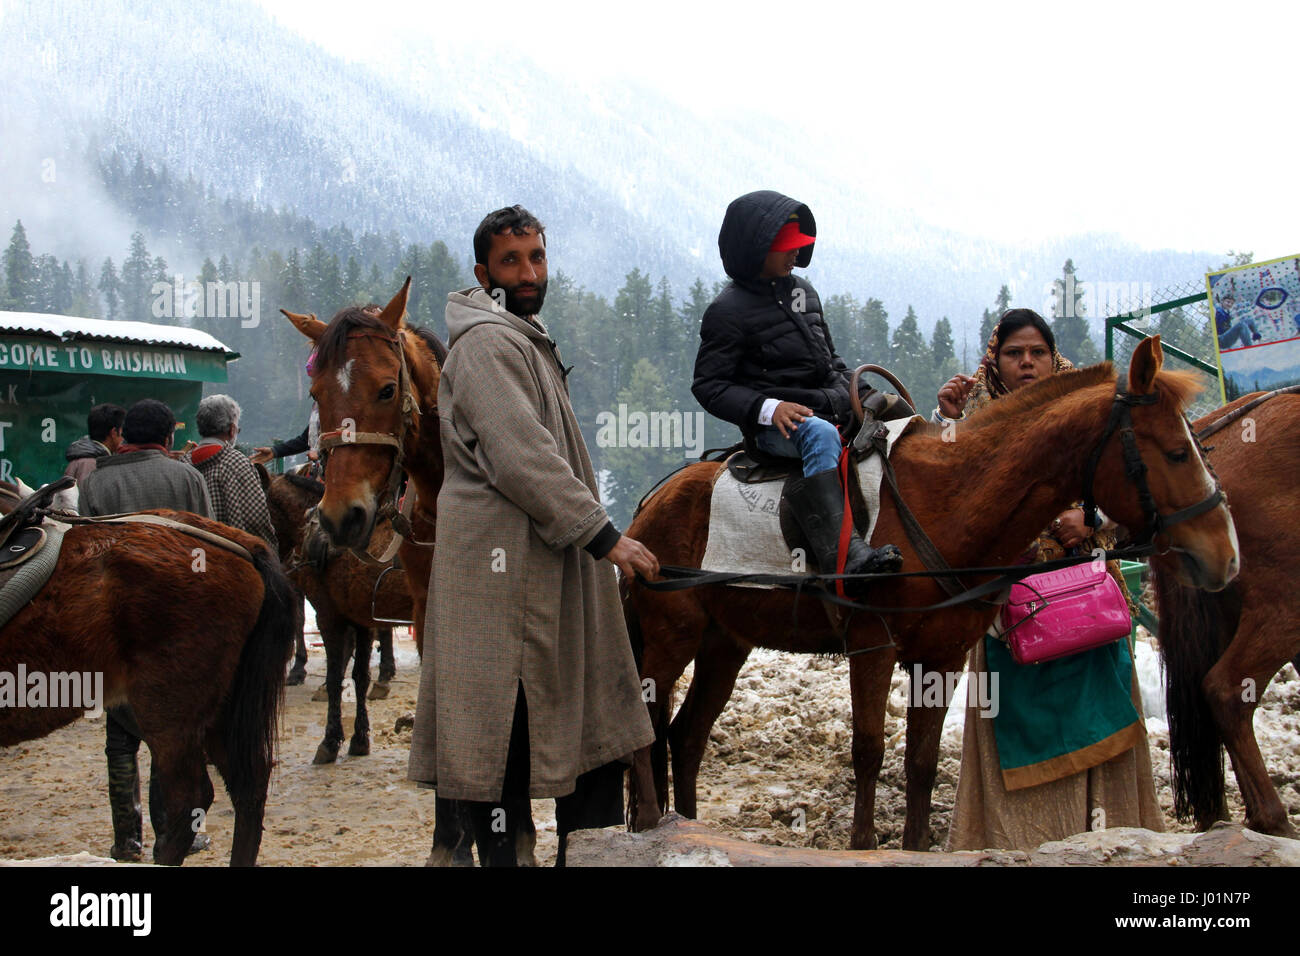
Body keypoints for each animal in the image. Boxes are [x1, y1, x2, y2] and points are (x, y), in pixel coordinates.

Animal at [262, 466, 411, 764]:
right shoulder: (360, 617)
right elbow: (360, 675)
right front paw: (360, 738)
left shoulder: (328, 615)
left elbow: (334, 677)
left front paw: (330, 740)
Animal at [622, 337, 1240, 850]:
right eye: (1176, 452)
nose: (1226, 556)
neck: (947, 499)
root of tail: (648, 508)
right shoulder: (873, 646)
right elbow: (869, 751)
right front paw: (863, 844)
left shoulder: (941, 658)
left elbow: (921, 761)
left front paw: (916, 844)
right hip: (672, 639)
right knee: (648, 731)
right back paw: (649, 822)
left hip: (724, 643)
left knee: (686, 737)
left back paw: (687, 825)